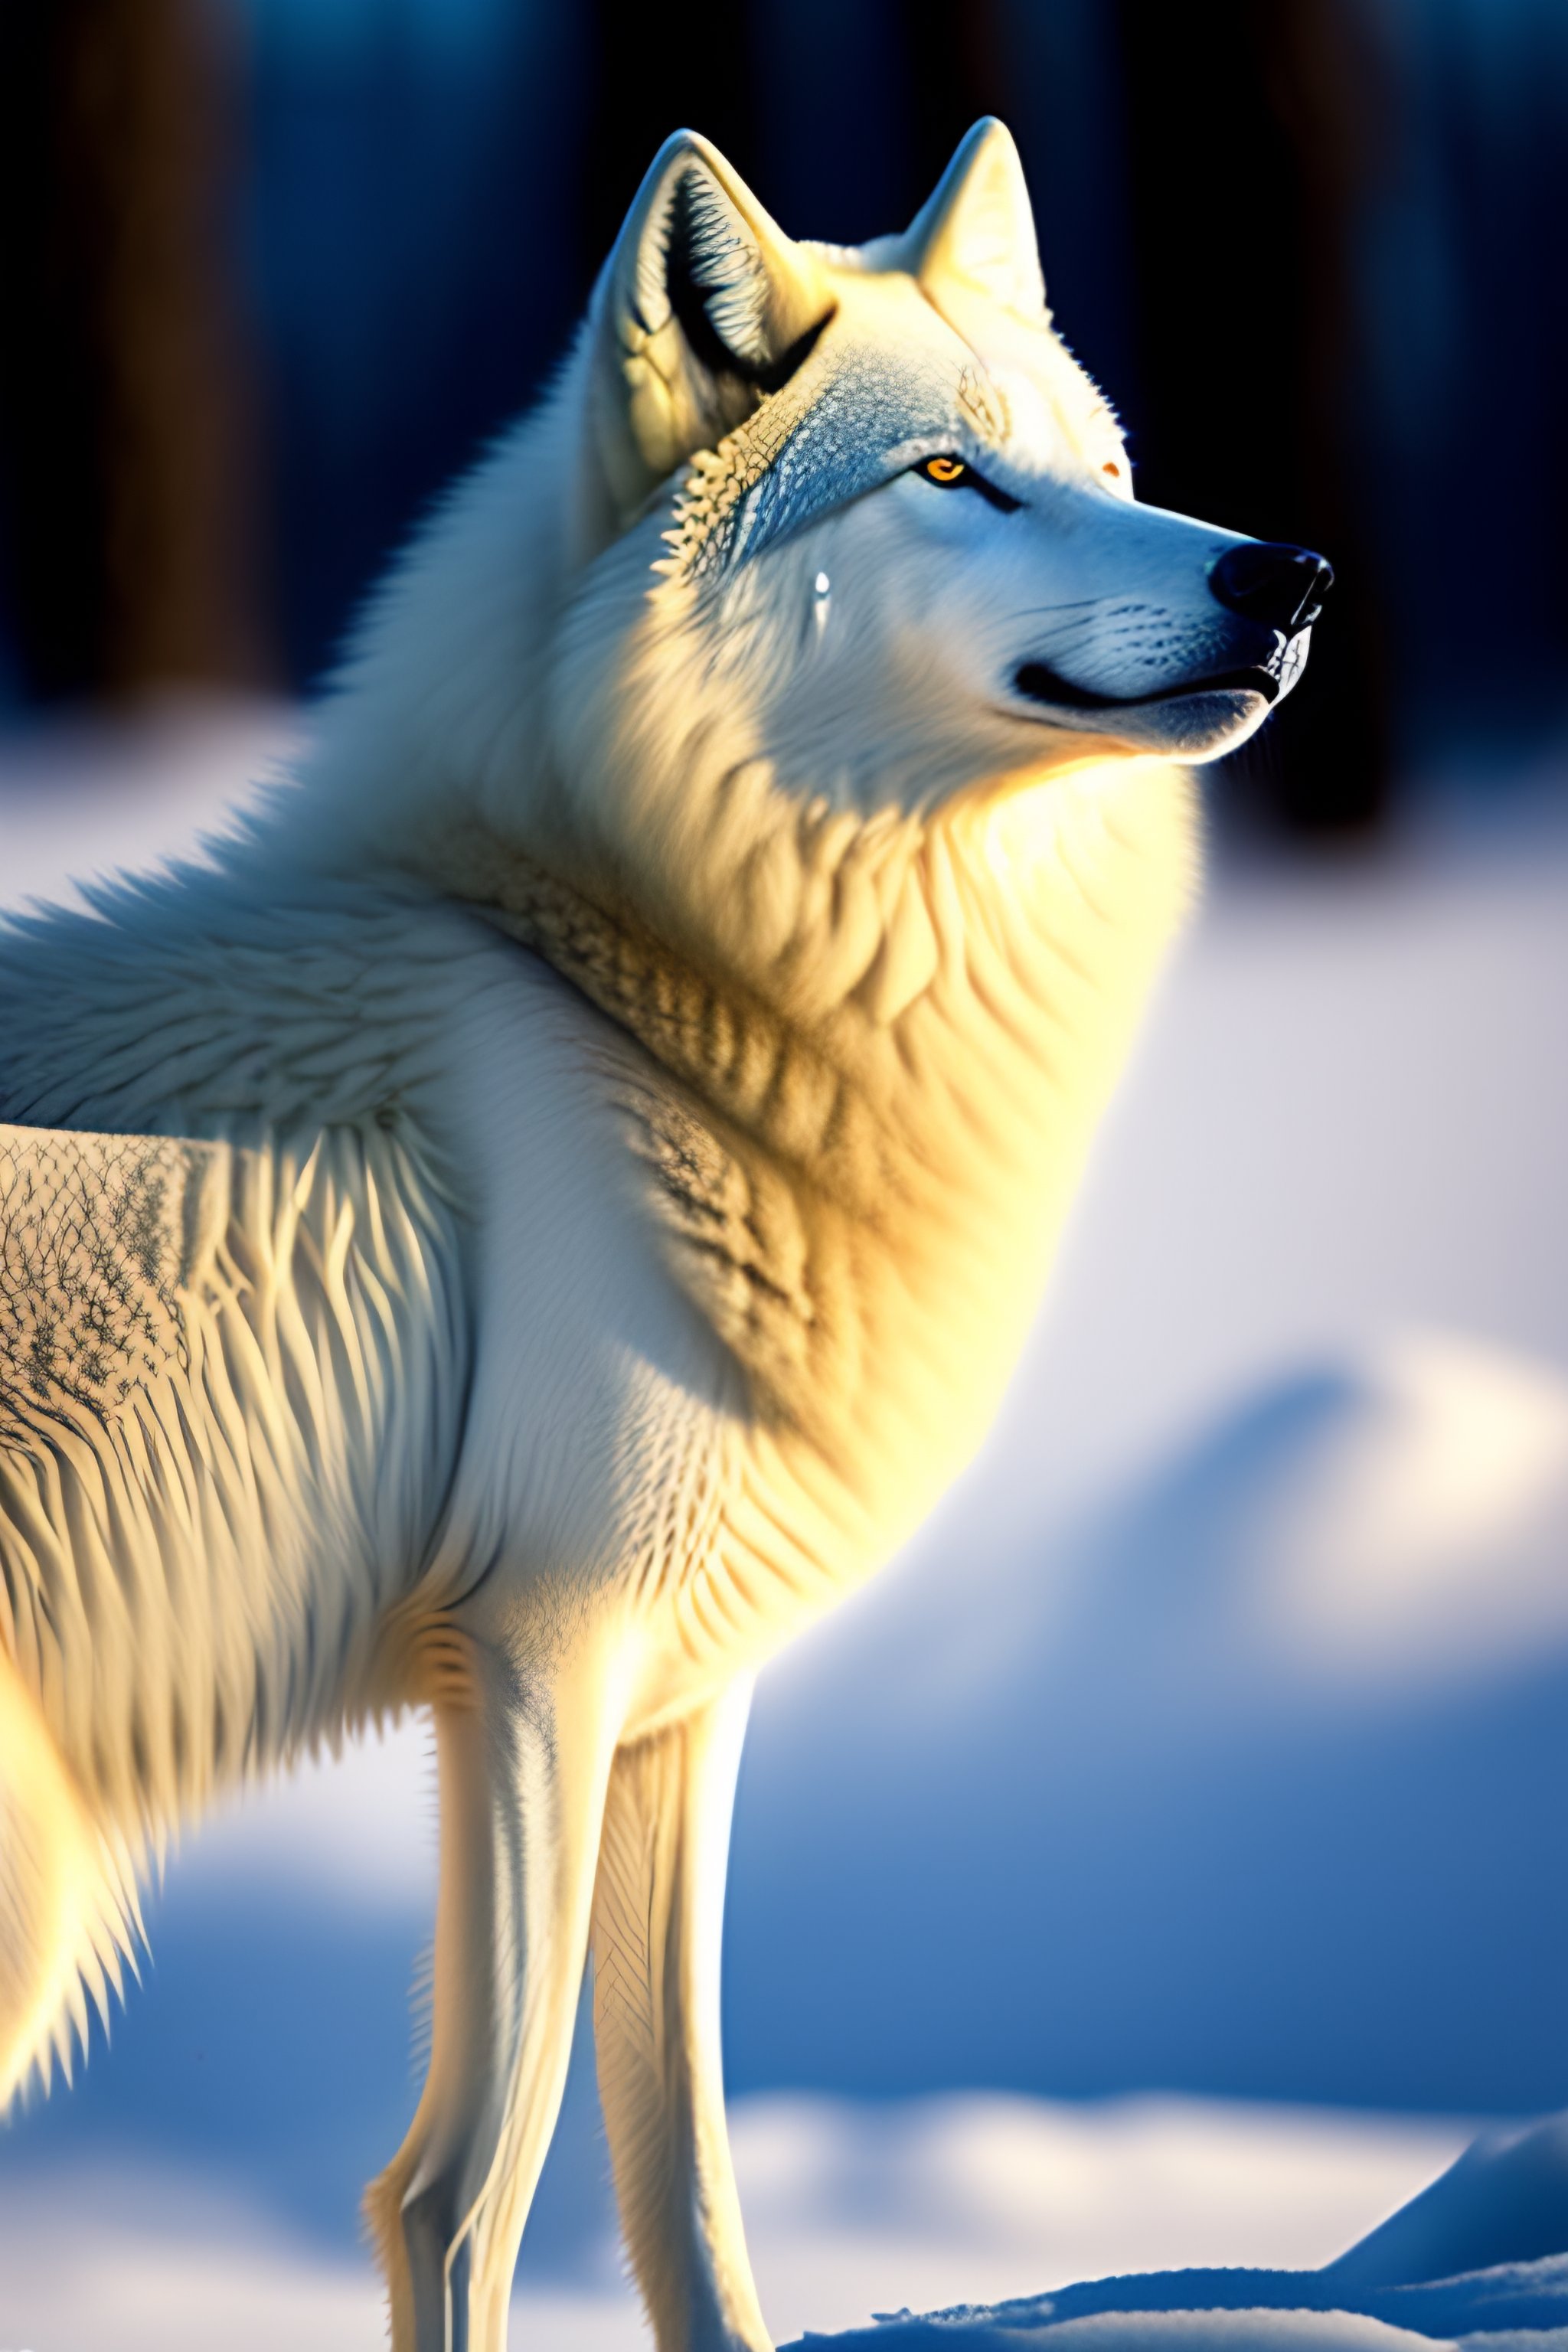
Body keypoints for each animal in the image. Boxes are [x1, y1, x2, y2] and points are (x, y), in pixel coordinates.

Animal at [0, 119, 1327, 2349]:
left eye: (1105, 466)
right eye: (951, 474)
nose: (1289, 576)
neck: (635, 993)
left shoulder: (680, 1705)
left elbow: (682, 2175)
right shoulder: (540, 1654)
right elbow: (467, 2184)